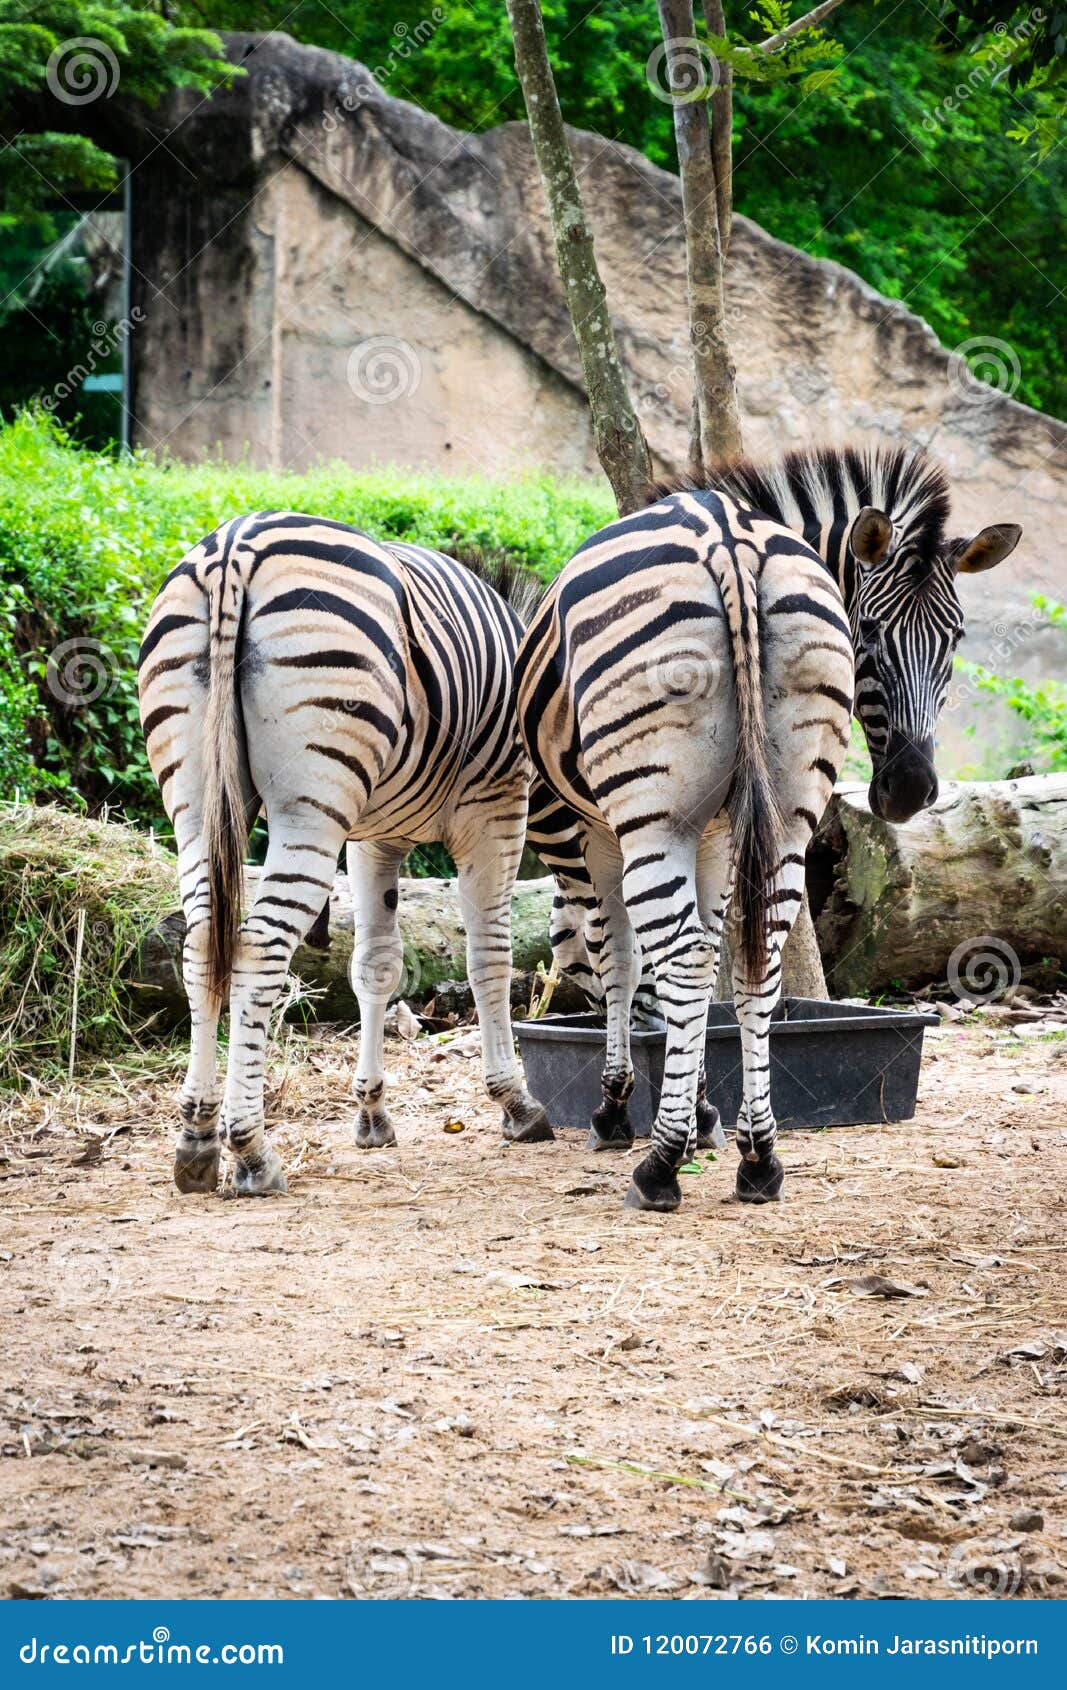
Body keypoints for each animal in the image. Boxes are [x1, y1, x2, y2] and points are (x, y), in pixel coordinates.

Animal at [138, 514, 553, 1196]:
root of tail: (234, 548)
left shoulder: (373, 837)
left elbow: (375, 965)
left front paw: (372, 1113)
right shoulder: (492, 807)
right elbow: (490, 956)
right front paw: (516, 1102)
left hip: (195, 802)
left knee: (201, 946)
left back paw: (196, 1141)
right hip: (311, 802)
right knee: (257, 949)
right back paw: (251, 1151)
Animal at [516, 444, 1020, 1212]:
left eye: (954, 640)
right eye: (870, 634)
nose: (909, 791)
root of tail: (729, 540)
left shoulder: (602, 830)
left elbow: (627, 958)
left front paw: (622, 1108)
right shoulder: (720, 833)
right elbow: (705, 958)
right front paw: (704, 1115)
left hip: (652, 809)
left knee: (685, 957)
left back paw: (659, 1167)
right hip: (787, 807)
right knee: (759, 962)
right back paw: (759, 1156)